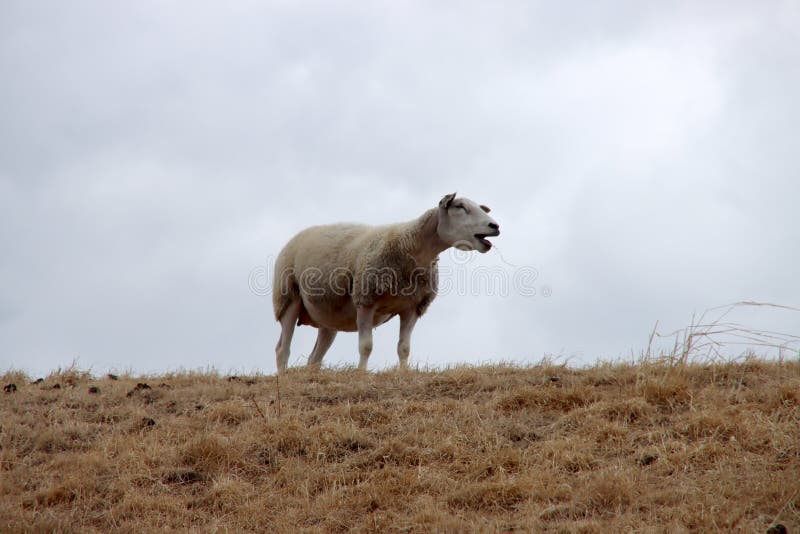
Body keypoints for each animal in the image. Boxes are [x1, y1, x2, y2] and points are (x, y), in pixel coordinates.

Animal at [272, 193, 500, 373]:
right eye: (460, 206)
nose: (495, 226)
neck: (412, 246)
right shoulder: (365, 299)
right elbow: (366, 346)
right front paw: (362, 374)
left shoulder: (412, 307)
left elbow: (404, 348)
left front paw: (403, 373)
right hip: (288, 297)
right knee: (283, 348)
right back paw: (283, 377)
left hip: (329, 317)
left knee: (314, 358)